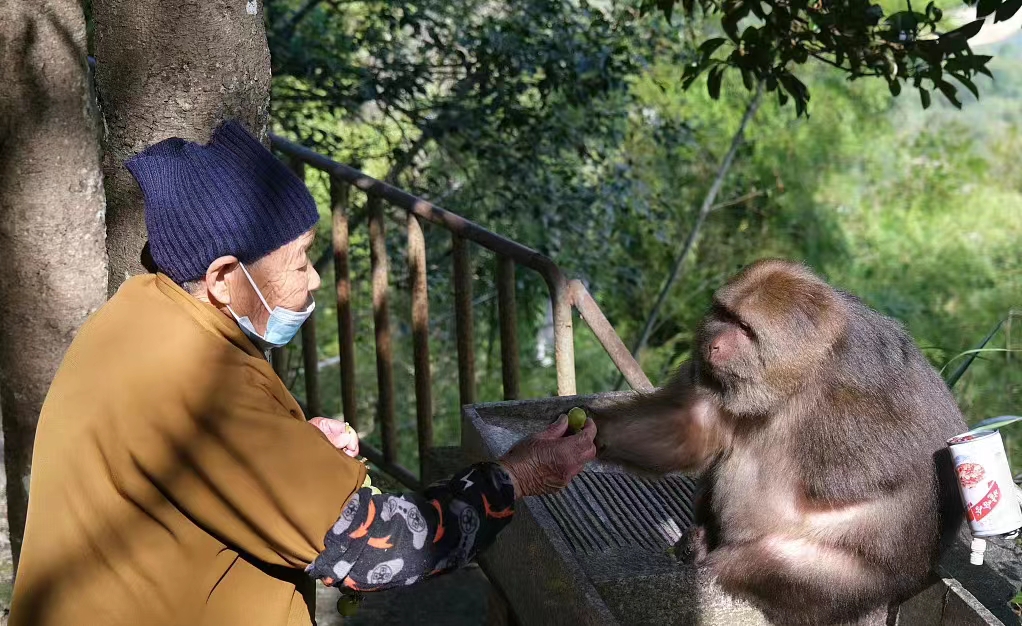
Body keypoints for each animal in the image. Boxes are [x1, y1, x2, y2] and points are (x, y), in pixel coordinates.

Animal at [590, 259, 966, 626]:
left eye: (744, 328)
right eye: (723, 314)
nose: (712, 343)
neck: (807, 372)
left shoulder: (852, 394)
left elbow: (865, 475)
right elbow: (693, 429)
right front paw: (592, 431)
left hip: (866, 583)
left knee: (774, 559)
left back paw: (713, 557)